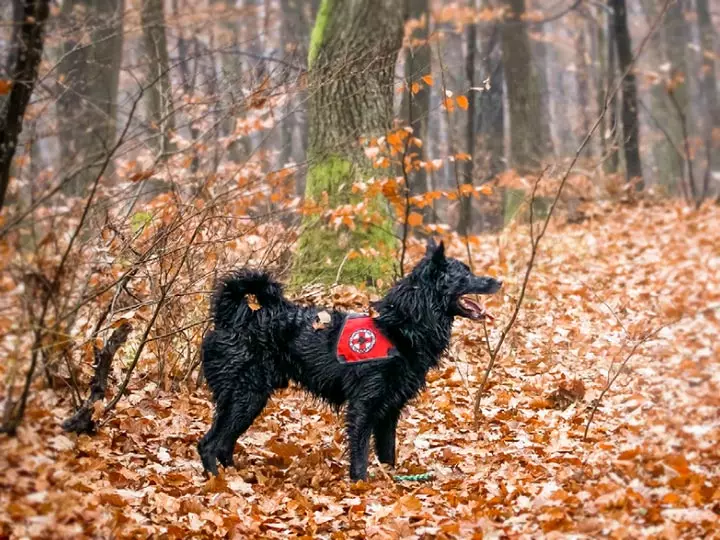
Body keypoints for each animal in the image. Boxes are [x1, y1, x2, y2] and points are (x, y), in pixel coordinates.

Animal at [197, 242, 500, 480]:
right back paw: (218, 483)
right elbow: (360, 454)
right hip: (245, 395)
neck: (401, 326)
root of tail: (235, 317)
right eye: (465, 274)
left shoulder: (390, 410)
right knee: (209, 444)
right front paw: (360, 486)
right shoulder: (363, 406)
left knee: (223, 444)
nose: (499, 281)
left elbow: (388, 454)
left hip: (249, 399)